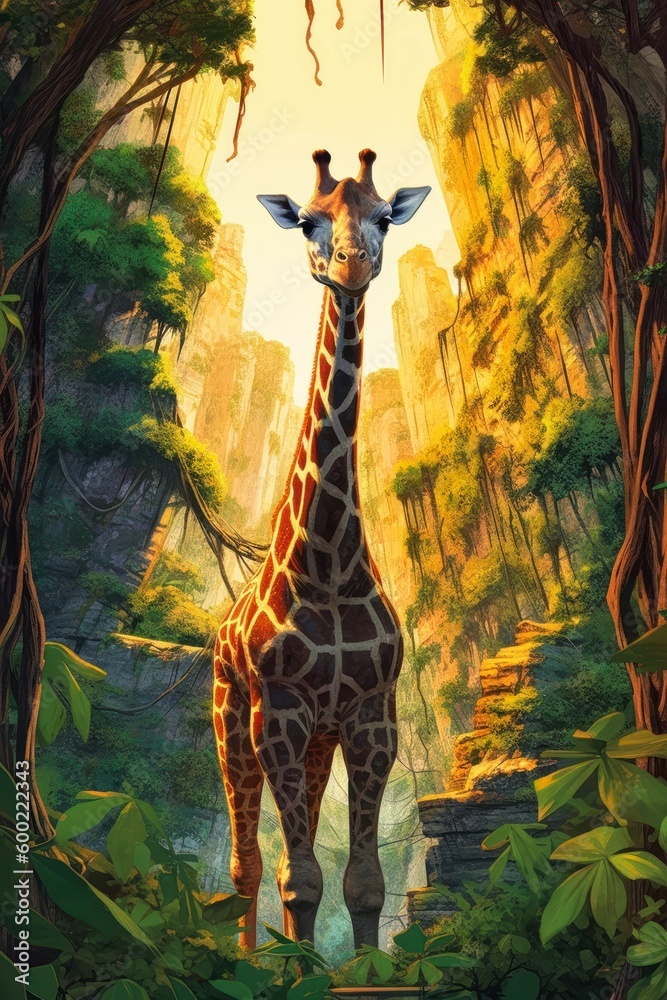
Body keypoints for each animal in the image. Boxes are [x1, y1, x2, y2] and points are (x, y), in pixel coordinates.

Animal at [213, 148, 430, 950]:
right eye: (308, 220)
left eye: (384, 217)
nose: (351, 263)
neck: (331, 564)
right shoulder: (277, 710)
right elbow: (297, 875)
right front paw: (290, 969)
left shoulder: (369, 714)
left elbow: (361, 881)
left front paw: (360, 967)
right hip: (232, 723)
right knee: (246, 862)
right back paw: (249, 958)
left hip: (315, 741)